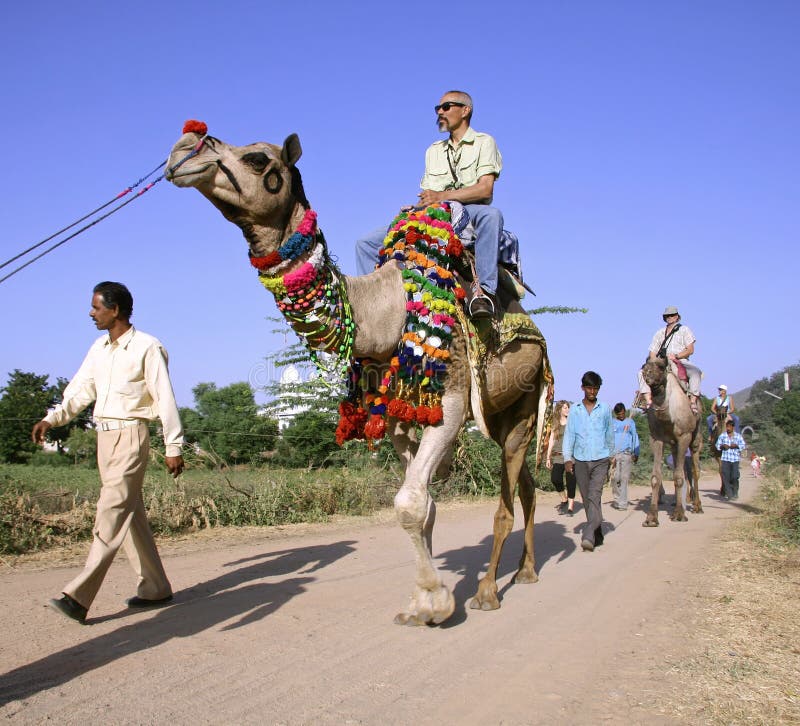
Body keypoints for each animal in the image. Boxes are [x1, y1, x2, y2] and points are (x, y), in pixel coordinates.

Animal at [165, 124, 552, 625]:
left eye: (256, 158)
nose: (182, 150)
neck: (388, 311)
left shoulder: (449, 401)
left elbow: (408, 503)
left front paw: (435, 602)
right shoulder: (397, 420)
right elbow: (423, 504)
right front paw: (420, 600)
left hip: (525, 398)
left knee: (507, 495)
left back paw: (488, 591)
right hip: (500, 409)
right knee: (526, 486)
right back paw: (525, 572)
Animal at [640, 358, 703, 525]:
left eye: (661, 366)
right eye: (644, 367)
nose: (647, 374)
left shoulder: (684, 436)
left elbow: (679, 476)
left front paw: (680, 515)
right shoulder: (655, 438)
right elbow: (656, 477)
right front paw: (651, 518)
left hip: (695, 435)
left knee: (694, 469)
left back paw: (697, 506)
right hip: (674, 444)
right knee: (678, 465)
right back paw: (676, 502)